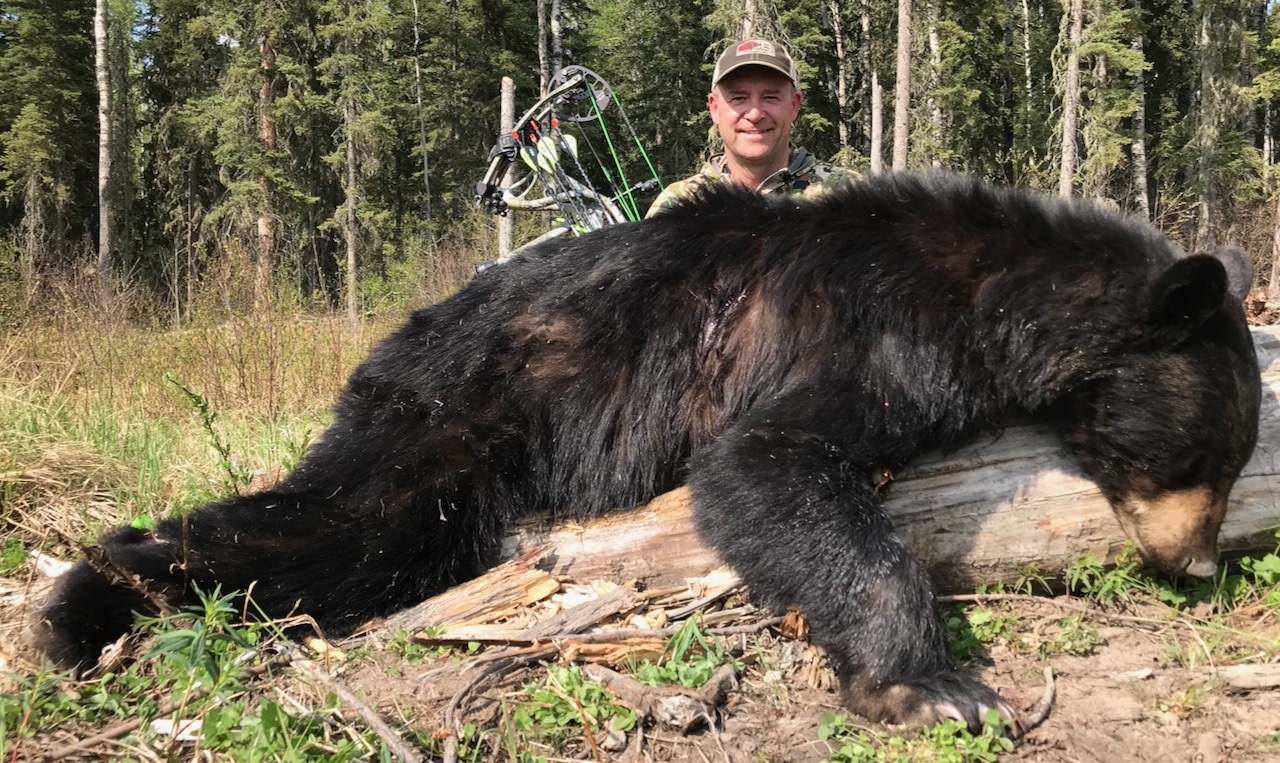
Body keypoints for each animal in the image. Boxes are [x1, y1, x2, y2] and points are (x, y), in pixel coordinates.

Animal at [37, 172, 1261, 732]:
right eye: (1210, 454)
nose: (1200, 564)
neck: (986, 290)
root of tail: (401, 330)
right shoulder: (871, 334)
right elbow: (765, 463)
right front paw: (932, 687)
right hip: (447, 415)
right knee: (330, 521)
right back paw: (83, 600)